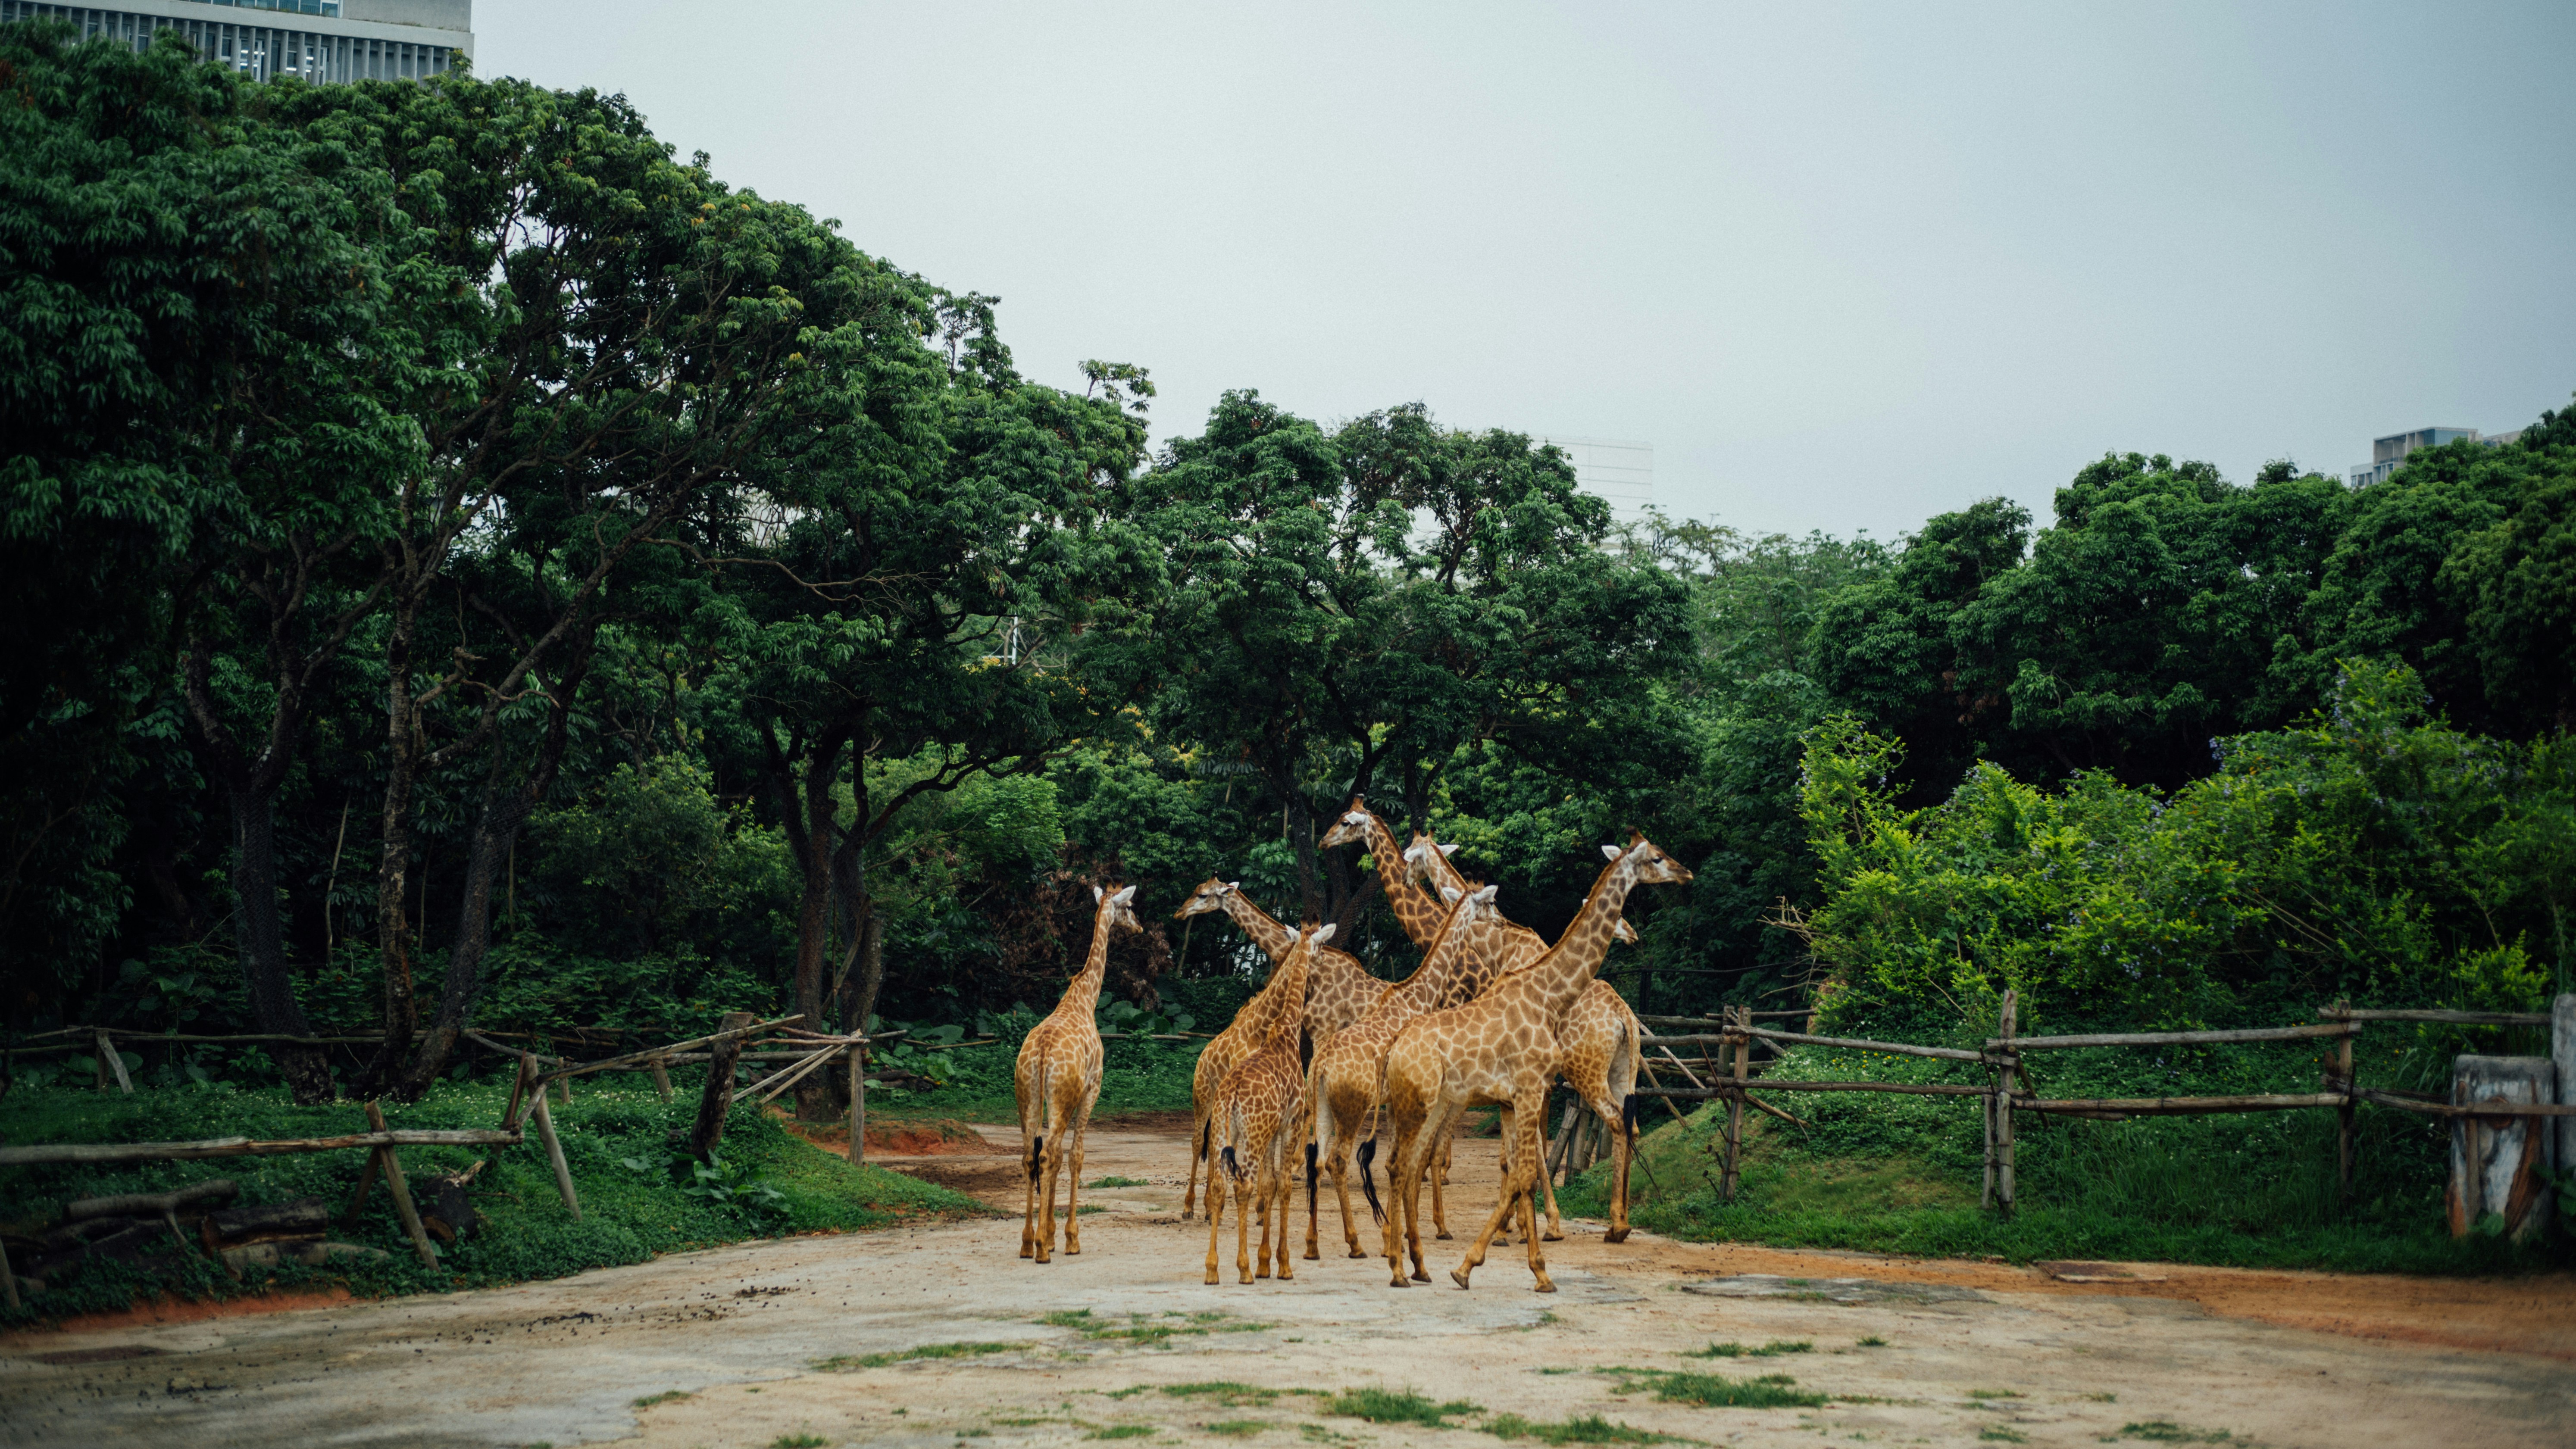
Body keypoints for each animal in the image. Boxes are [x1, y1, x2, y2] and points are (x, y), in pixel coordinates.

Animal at [1015, 882, 1138, 1263]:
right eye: (1130, 907)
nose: (1139, 927)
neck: (1085, 999)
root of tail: (1041, 1053)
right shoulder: (1092, 1088)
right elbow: (1076, 1157)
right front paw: (1069, 1239)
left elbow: (1057, 1160)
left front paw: (1051, 1235)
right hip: (1062, 1096)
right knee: (1048, 1153)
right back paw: (1042, 1249)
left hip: (1027, 1095)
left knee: (1031, 1155)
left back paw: (1028, 1243)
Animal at [1205, 923, 1330, 1284]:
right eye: (1321, 947)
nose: (1320, 966)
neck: (1285, 1033)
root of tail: (1231, 1094)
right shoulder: (1291, 1123)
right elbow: (1284, 1185)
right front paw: (1282, 1265)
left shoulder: (1275, 1130)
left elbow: (1271, 1184)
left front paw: (1265, 1263)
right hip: (1253, 1135)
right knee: (1242, 1184)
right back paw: (1243, 1269)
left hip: (1223, 1131)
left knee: (1220, 1185)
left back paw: (1212, 1269)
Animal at [1302, 882, 1498, 1261]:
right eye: (1490, 902)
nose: (1500, 921)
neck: (1419, 996)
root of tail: (1321, 1064)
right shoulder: (1405, 1097)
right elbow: (1406, 1160)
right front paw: (1401, 1235)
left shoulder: (1394, 1100)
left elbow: (1396, 1161)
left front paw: (1392, 1235)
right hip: (1352, 1109)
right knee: (1337, 1161)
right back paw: (1355, 1244)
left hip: (1324, 1107)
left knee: (1317, 1162)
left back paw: (1312, 1245)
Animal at [1378, 834, 1691, 1291]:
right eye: (1657, 857)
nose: (1685, 873)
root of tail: (1626, 1017)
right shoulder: (1521, 1093)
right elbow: (1521, 1166)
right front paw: (1511, 1248)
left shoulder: (1524, 1093)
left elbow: (1521, 1166)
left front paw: (1523, 1247)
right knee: (1401, 1163)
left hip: (1583, 1078)